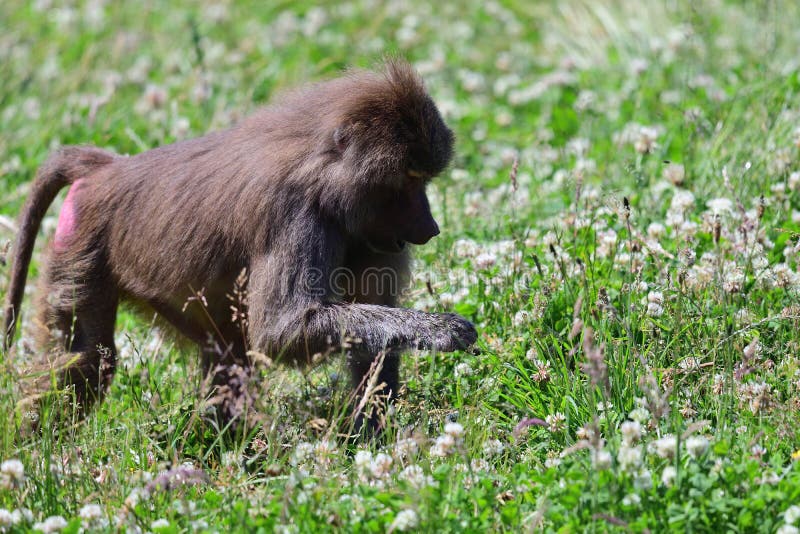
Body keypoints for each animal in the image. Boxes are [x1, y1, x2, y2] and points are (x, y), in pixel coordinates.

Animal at [2, 60, 477, 435]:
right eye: (410, 178)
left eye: (424, 178)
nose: (430, 228)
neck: (324, 175)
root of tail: (105, 170)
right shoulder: (291, 215)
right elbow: (282, 330)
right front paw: (443, 329)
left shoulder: (373, 235)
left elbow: (369, 348)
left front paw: (373, 437)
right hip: (82, 243)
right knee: (86, 362)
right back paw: (36, 450)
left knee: (221, 361)